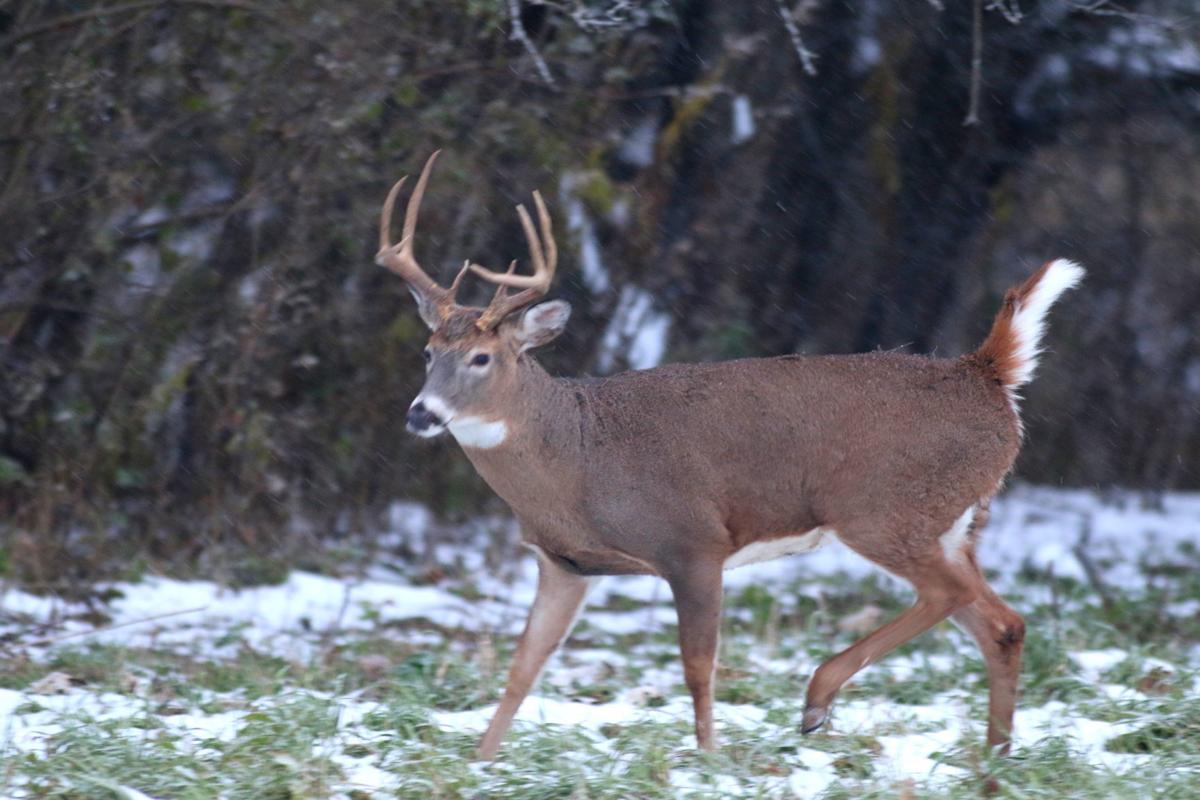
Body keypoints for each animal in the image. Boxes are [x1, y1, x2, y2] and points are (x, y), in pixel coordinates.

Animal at [376, 151, 1084, 760]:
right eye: (427, 352)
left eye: (481, 357)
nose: (420, 413)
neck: (575, 458)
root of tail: (985, 373)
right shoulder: (565, 563)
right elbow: (524, 667)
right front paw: (480, 763)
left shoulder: (692, 542)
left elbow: (697, 666)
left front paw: (710, 758)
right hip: (953, 521)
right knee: (1002, 622)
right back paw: (993, 757)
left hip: (884, 511)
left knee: (950, 595)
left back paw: (818, 700)